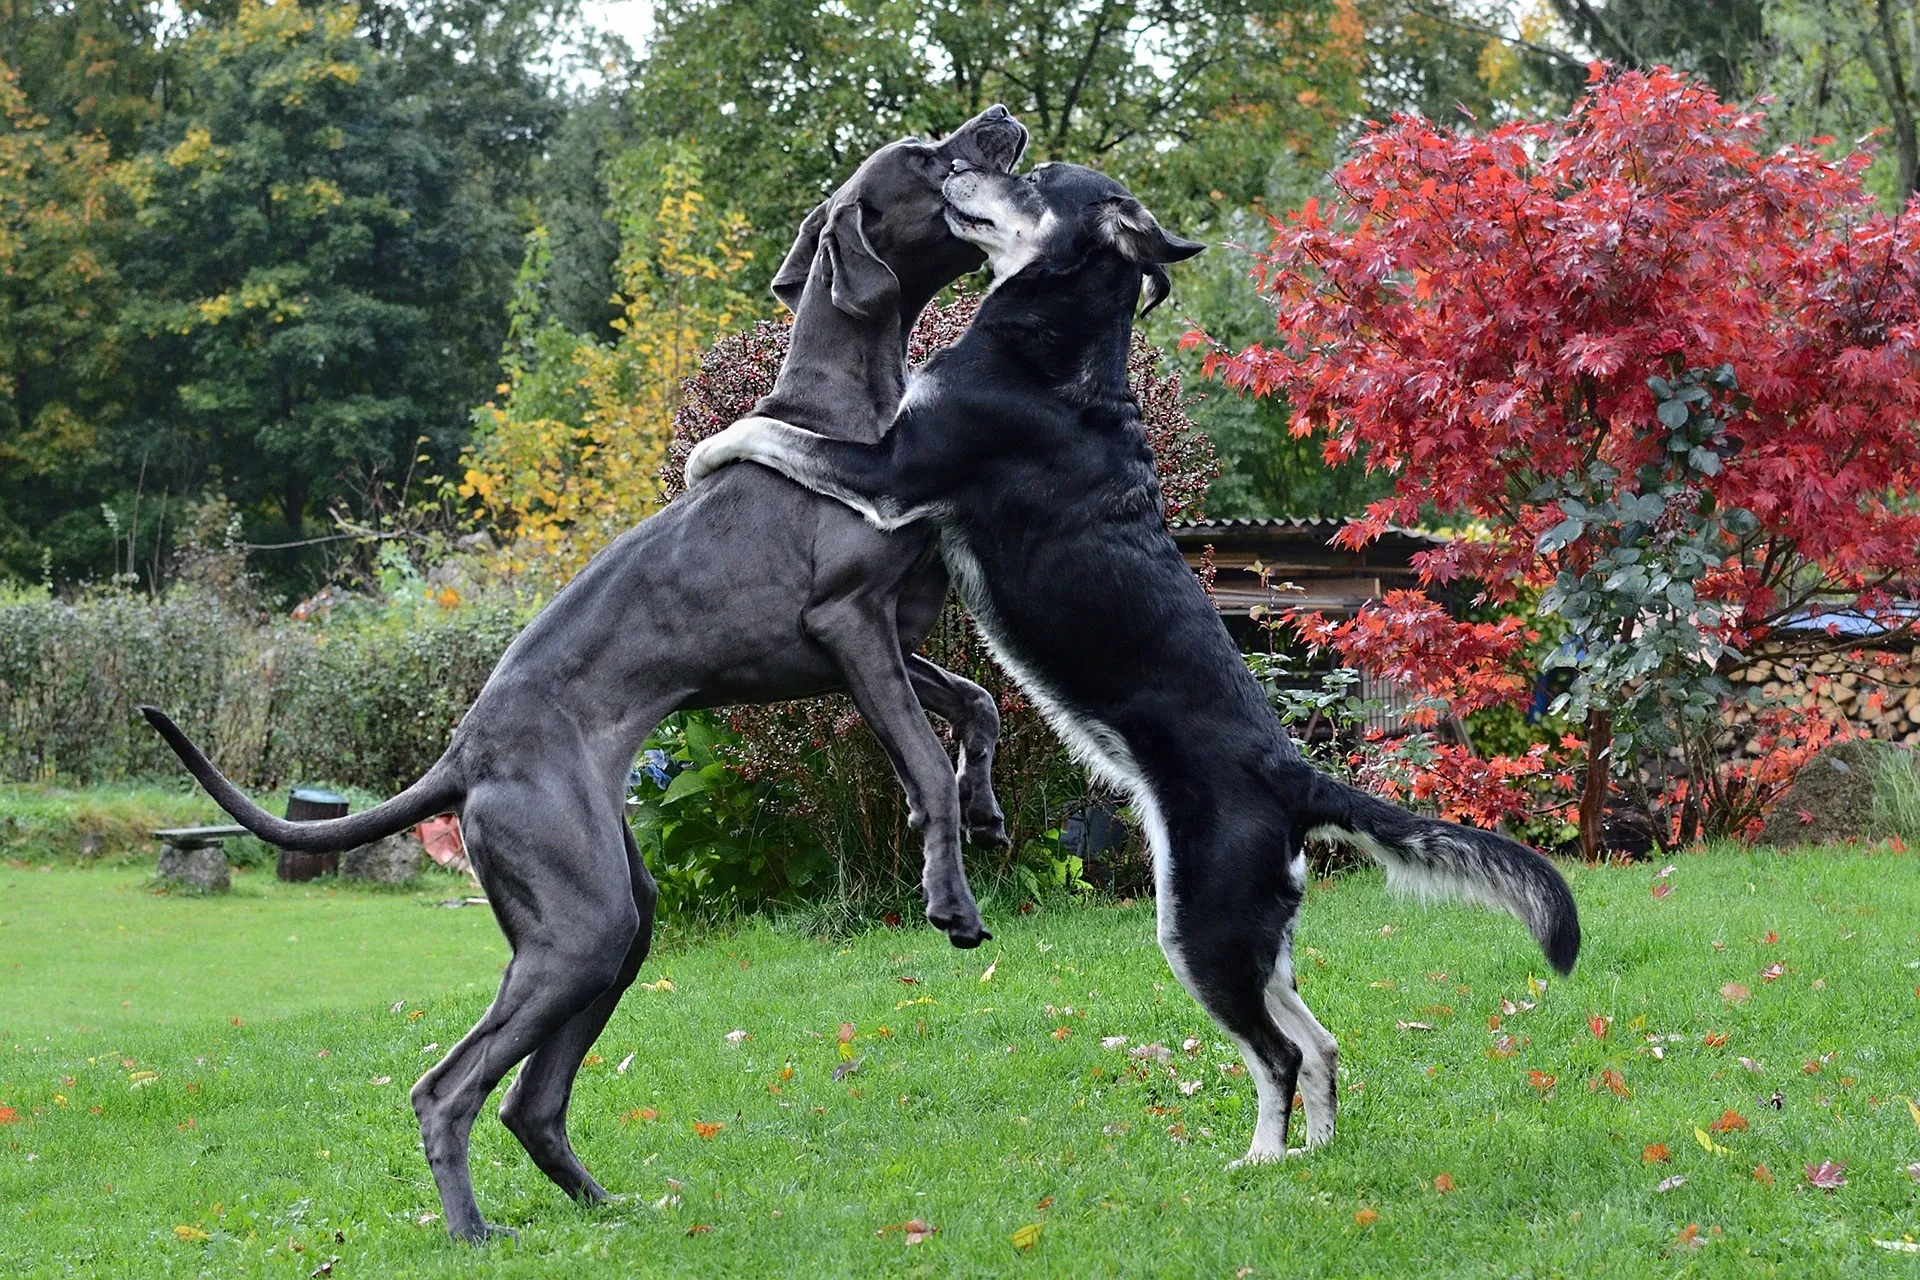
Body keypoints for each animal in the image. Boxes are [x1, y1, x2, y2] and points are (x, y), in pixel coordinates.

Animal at [683, 160, 1582, 1159]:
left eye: (1034, 178)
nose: (957, 163)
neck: (1057, 342)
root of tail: (1294, 773)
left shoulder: (893, 468)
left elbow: (780, 436)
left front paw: (707, 449)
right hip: (1257, 935)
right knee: (1321, 1044)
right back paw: (1311, 1154)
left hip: (1201, 926)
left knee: (1276, 1053)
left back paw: (1260, 1161)